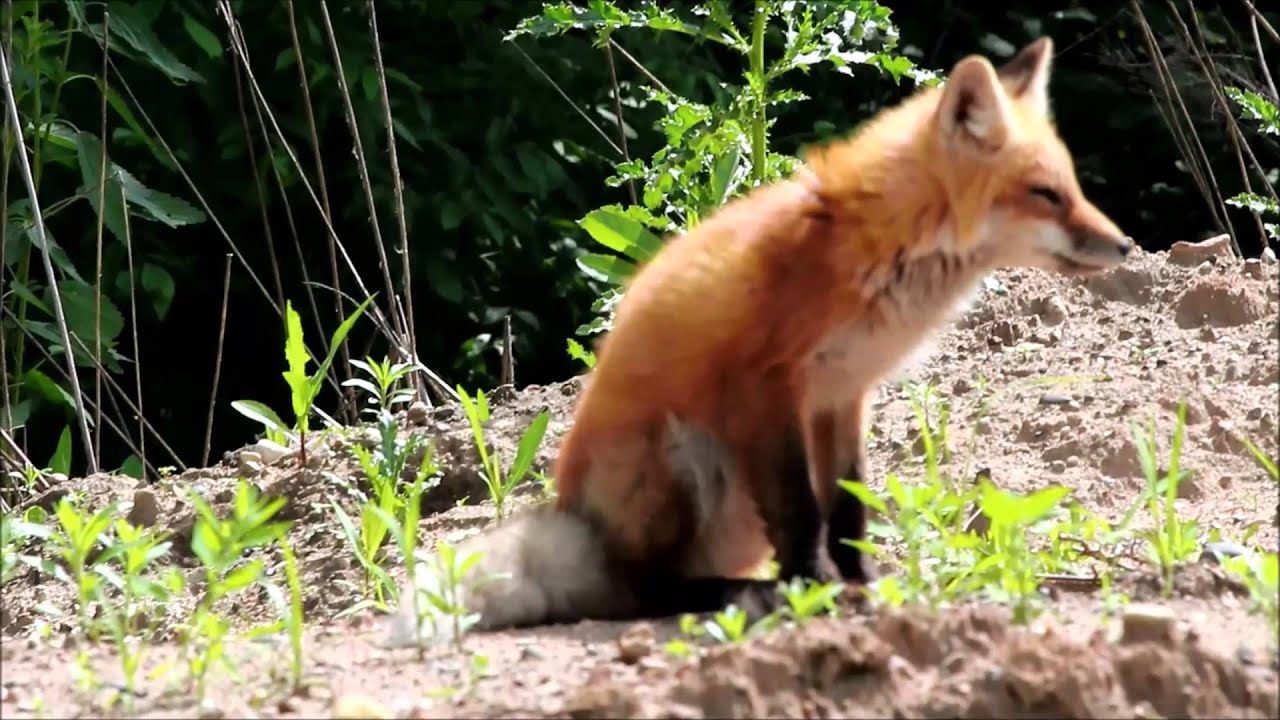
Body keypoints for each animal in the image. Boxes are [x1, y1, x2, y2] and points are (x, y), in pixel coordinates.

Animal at [385, 36, 1132, 645]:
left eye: (1073, 188)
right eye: (1044, 194)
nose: (1125, 246)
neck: (876, 254)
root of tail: (577, 518)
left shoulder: (842, 394)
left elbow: (847, 505)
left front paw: (860, 583)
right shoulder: (764, 389)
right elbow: (800, 509)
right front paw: (816, 591)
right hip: (683, 453)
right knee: (639, 591)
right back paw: (732, 593)